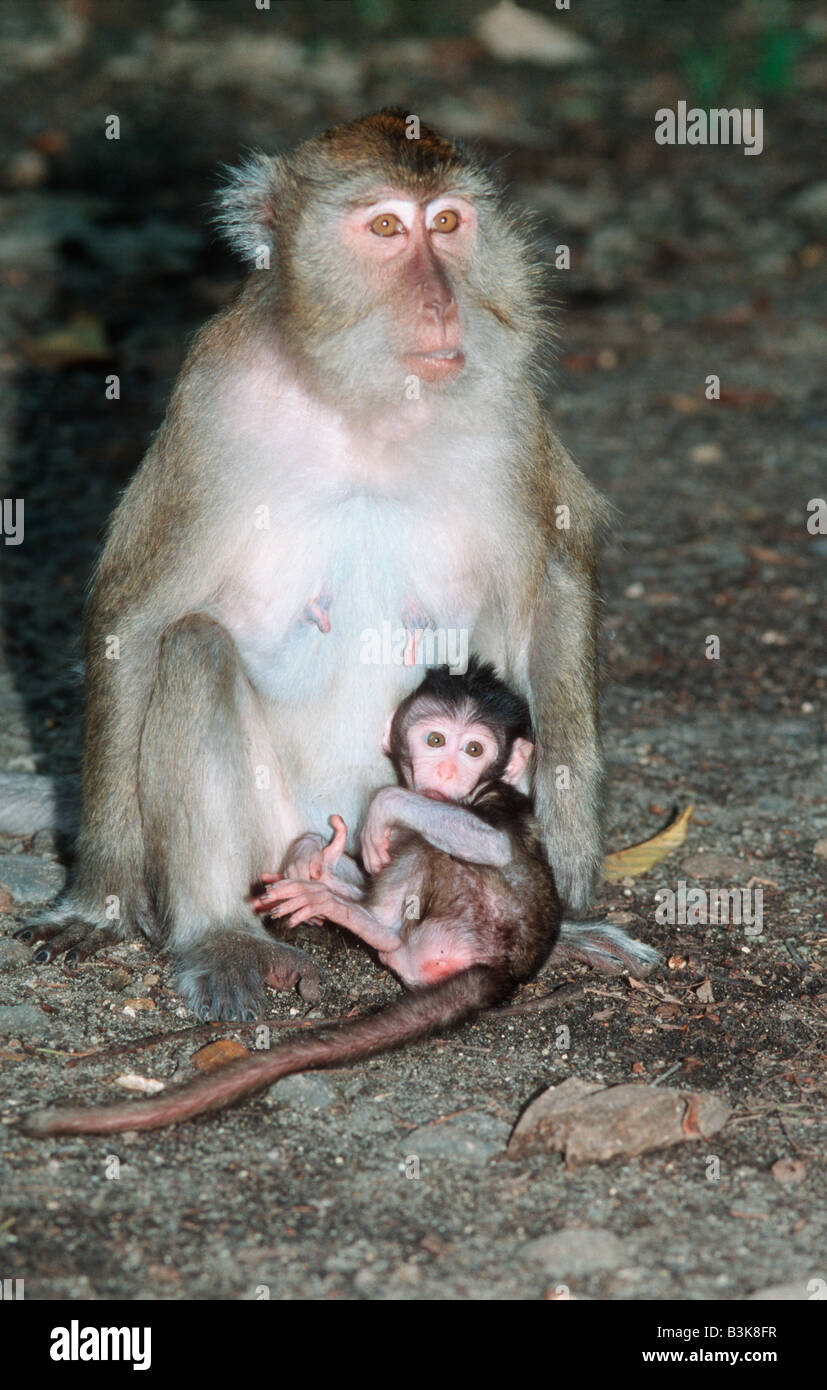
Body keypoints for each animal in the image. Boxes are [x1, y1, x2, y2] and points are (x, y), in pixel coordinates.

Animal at [17, 109, 619, 1023]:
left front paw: (571, 898)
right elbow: (139, 619)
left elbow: (550, 588)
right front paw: (99, 904)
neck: (366, 408)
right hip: (278, 838)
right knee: (195, 648)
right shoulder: (212, 400)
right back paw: (222, 936)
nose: (441, 305)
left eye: (447, 222)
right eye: (386, 229)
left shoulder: (509, 415)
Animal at [21, 663, 658, 1137]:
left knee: (428, 851)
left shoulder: (495, 799)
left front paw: (382, 810)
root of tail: (504, 972)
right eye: (435, 739)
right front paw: (313, 855)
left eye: (476, 749)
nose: (448, 769)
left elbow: (486, 842)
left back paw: (368, 922)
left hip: (472, 921)